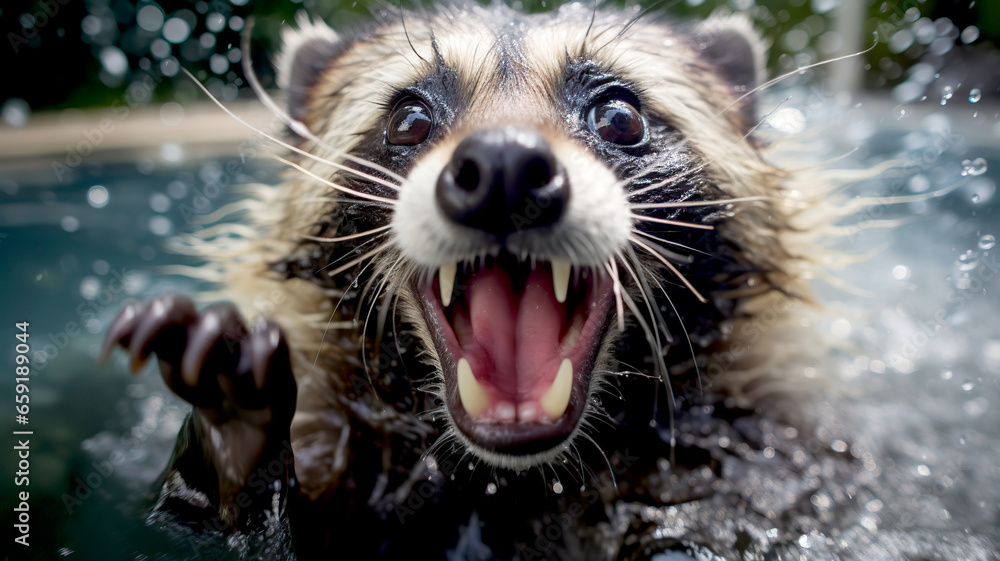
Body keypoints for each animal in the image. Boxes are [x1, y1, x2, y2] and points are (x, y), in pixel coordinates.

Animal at [101, 3, 998, 560]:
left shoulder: (779, 454)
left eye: (620, 116)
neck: (514, 477)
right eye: (410, 119)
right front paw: (230, 444)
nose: (502, 168)